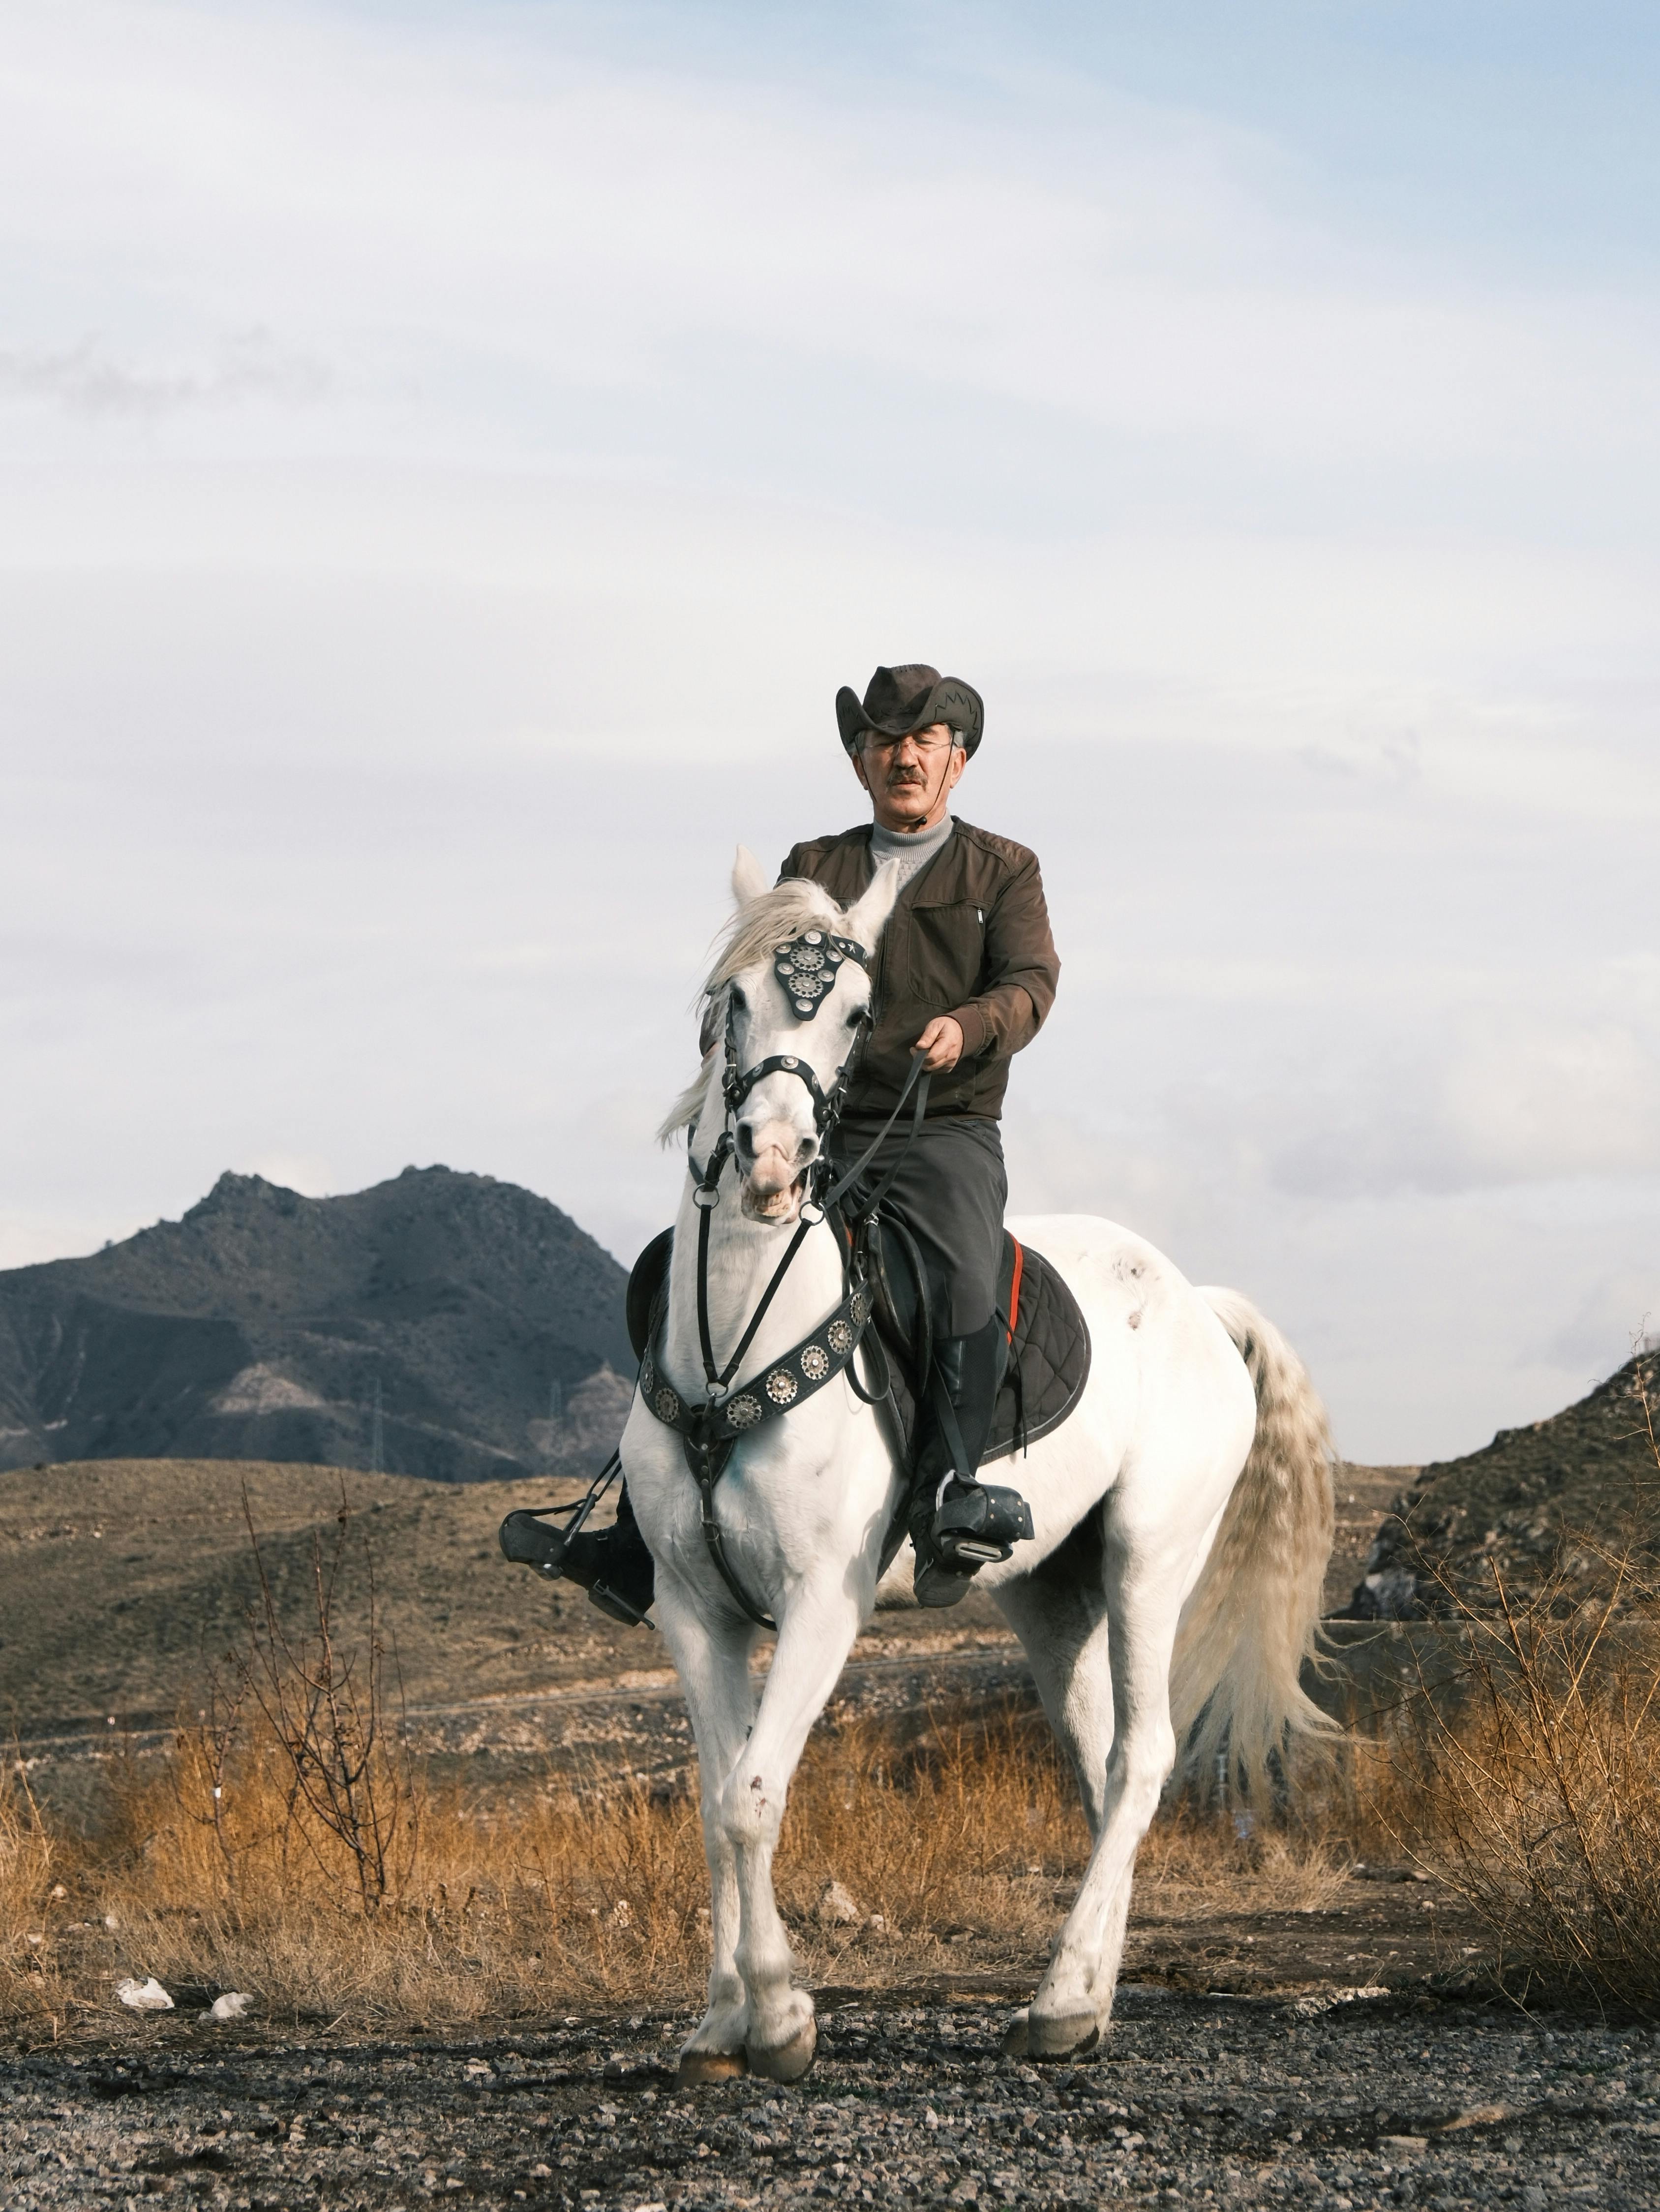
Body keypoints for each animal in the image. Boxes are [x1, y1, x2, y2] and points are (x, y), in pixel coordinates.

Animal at [620, 847, 1335, 2084]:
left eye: (859, 1018)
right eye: (731, 1001)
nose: (771, 1163)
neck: (733, 1347)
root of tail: (1201, 1302)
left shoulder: (822, 1605)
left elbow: (755, 1798)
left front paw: (782, 2014)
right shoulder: (692, 1608)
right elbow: (714, 1803)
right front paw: (717, 2021)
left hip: (1148, 1559)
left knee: (1144, 1758)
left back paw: (1056, 2002)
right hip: (1054, 1594)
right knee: (1101, 1766)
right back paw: (1085, 1998)